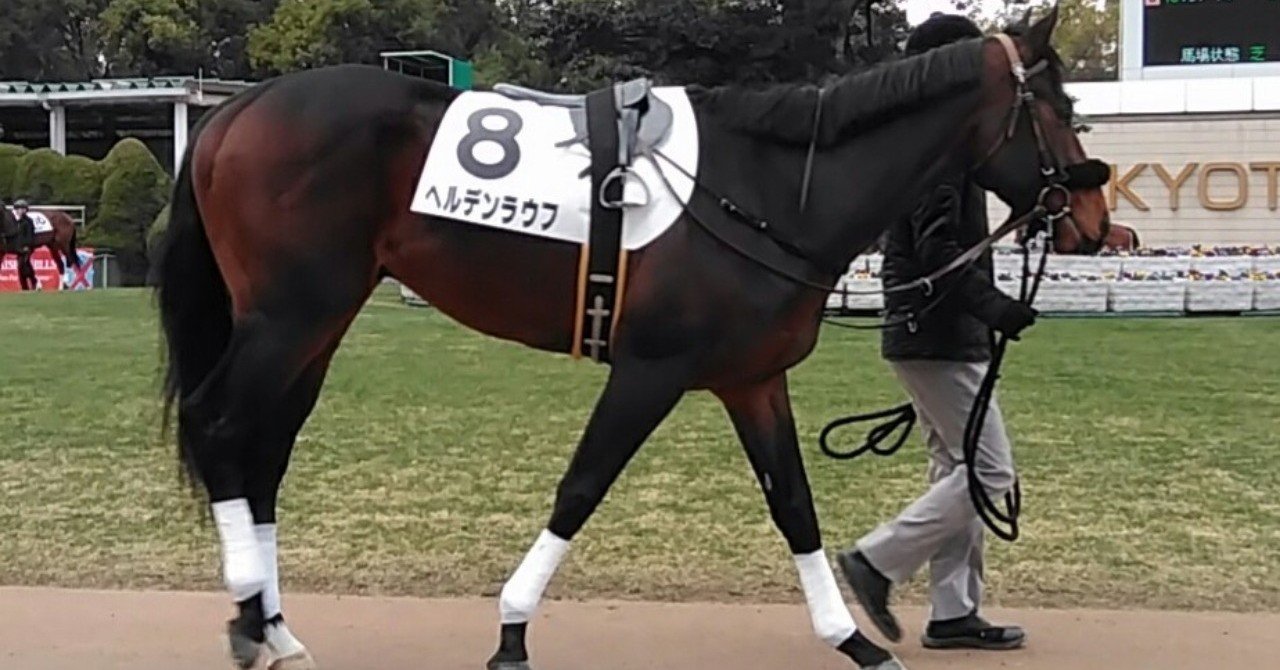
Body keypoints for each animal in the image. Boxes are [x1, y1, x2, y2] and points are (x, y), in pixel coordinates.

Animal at [154, 8, 1109, 670]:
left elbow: (794, 505)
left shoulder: (752, 380)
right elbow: (582, 487)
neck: (768, 186)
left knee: (265, 449)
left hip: (314, 324)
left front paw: (854, 638)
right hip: (288, 318)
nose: (1096, 222)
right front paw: (512, 629)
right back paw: (247, 613)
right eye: (1061, 106)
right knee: (219, 425)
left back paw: (274, 629)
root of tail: (236, 109)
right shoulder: (651, 371)